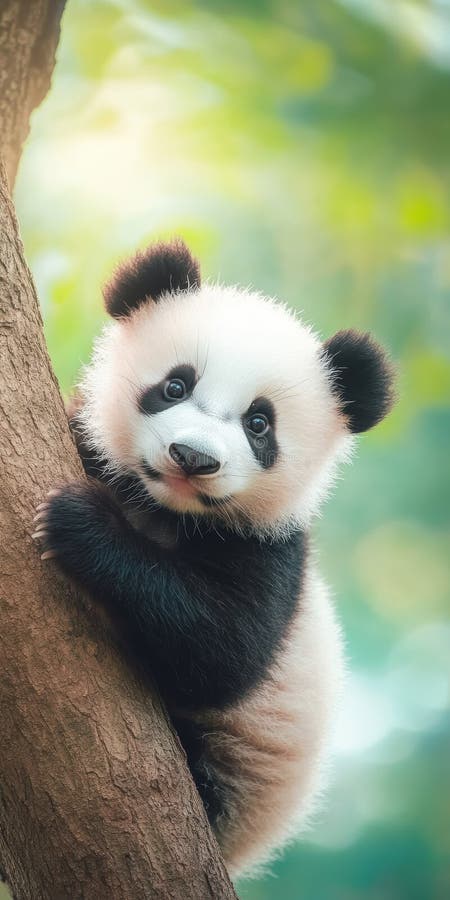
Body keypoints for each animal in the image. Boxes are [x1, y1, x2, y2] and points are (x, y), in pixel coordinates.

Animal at [33, 238, 395, 879]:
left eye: (259, 424)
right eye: (175, 387)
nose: (192, 457)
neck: (162, 508)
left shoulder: (272, 549)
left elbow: (222, 653)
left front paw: (81, 525)